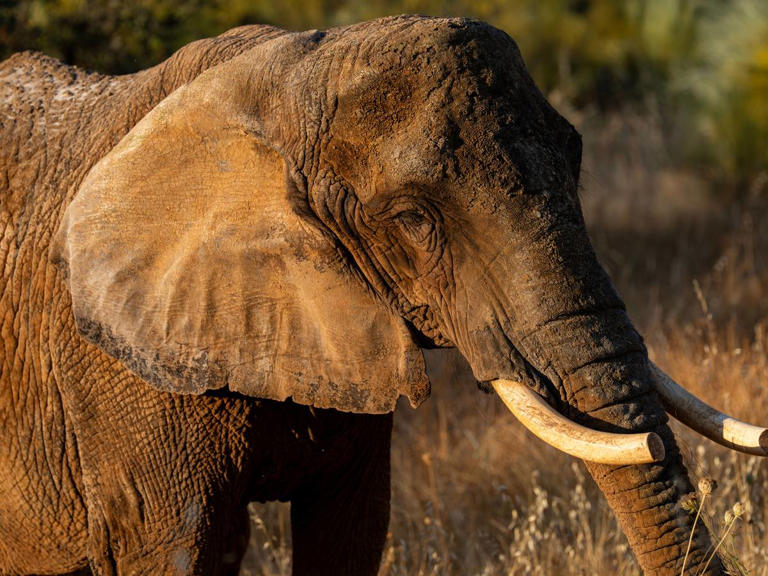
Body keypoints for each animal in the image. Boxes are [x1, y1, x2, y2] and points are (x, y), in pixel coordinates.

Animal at [0, 14, 765, 576]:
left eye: (576, 164)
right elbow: (177, 546)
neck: (285, 78)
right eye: (412, 220)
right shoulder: (120, 372)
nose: (650, 441)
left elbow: (352, 529)